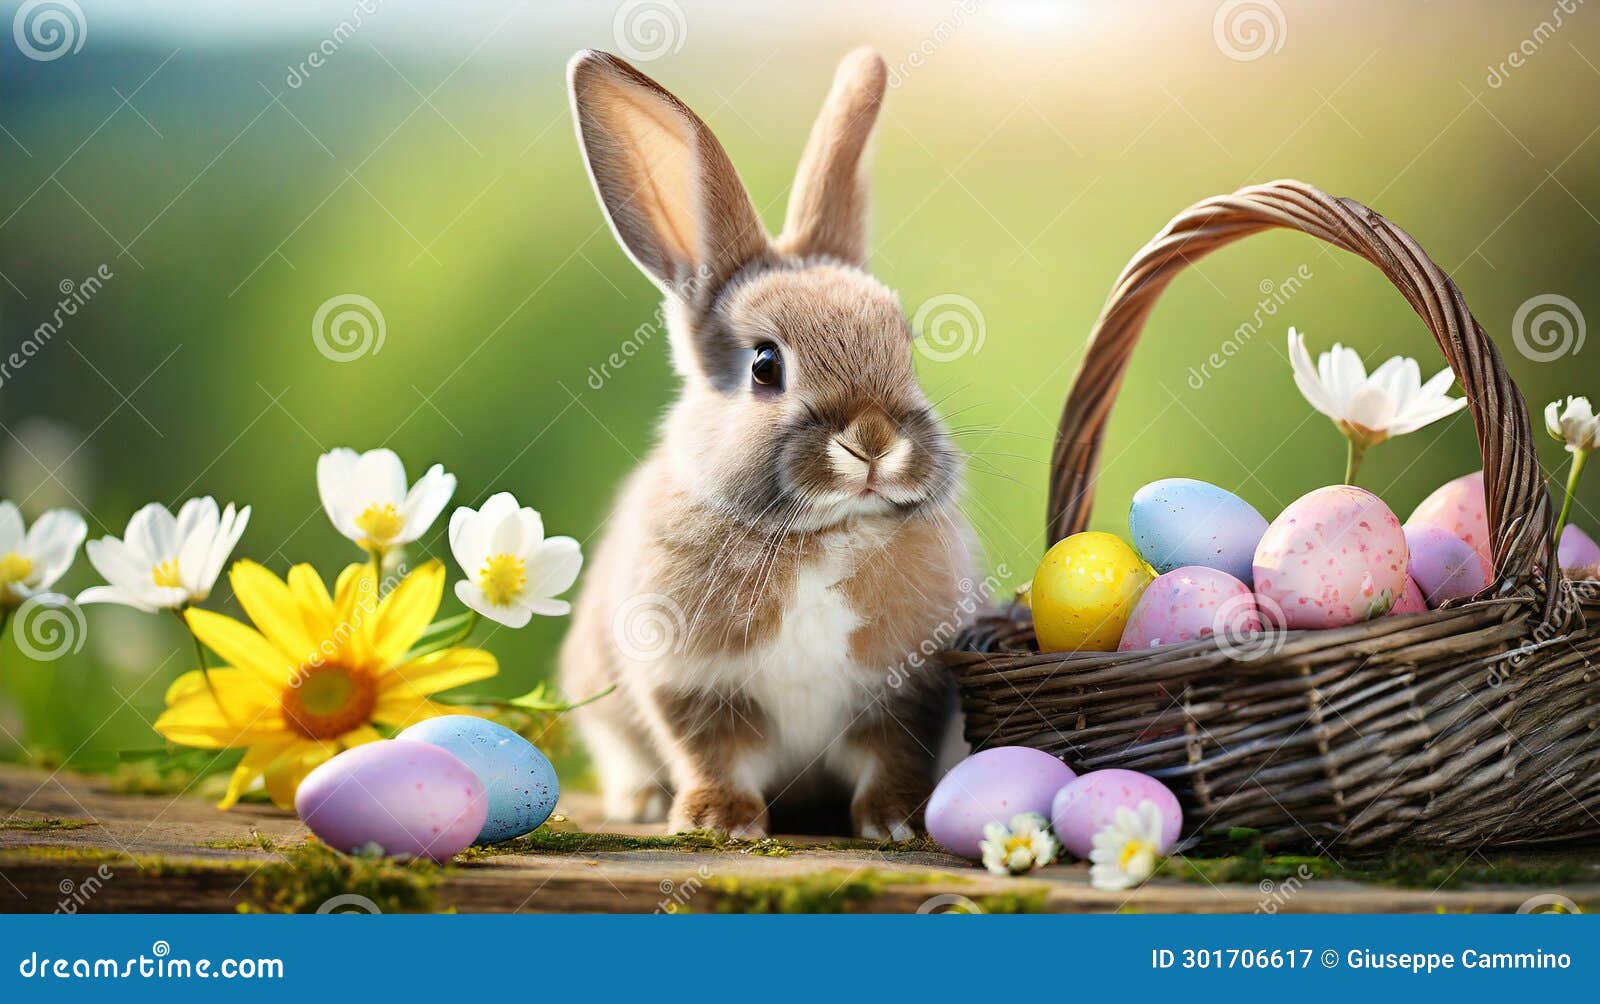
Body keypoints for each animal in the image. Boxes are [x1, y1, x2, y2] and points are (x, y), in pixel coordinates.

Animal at [559, 47, 978, 839]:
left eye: (906, 345)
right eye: (764, 366)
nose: (873, 440)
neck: (822, 535)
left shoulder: (905, 692)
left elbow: (892, 754)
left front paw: (898, 822)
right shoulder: (689, 682)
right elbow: (712, 750)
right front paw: (718, 822)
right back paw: (643, 800)